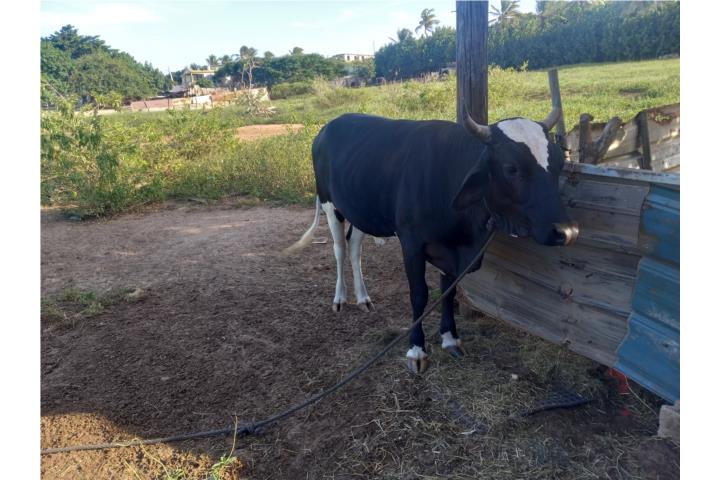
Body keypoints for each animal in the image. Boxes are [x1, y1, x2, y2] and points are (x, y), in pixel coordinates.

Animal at [284, 109, 579, 373]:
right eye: (511, 168)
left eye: (558, 164)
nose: (568, 231)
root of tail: (328, 127)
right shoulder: (411, 243)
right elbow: (419, 294)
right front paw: (416, 350)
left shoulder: (452, 251)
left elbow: (448, 291)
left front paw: (450, 339)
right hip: (330, 204)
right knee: (339, 249)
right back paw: (340, 298)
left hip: (361, 209)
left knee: (355, 247)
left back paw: (363, 298)